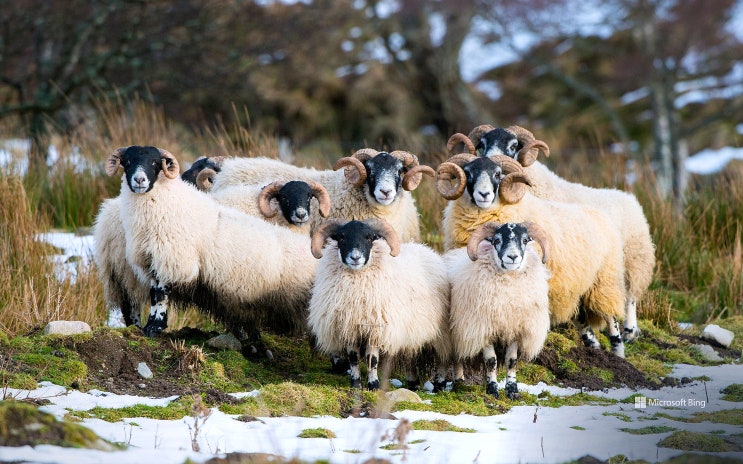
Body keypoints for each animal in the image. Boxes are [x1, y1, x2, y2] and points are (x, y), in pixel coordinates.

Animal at [101, 145, 318, 354]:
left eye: (155, 162)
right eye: (127, 161)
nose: (139, 180)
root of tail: (105, 214)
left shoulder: (167, 259)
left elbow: (160, 295)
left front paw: (154, 327)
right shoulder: (163, 258)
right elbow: (159, 295)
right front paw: (153, 328)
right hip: (124, 275)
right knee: (131, 306)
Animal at [307, 218, 452, 390]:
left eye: (369, 237)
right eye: (341, 237)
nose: (355, 258)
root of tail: (425, 248)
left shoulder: (376, 328)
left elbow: (372, 359)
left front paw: (374, 385)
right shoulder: (348, 328)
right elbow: (353, 358)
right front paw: (356, 384)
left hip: (440, 332)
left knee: (443, 358)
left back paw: (440, 384)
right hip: (411, 330)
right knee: (410, 355)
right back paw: (412, 383)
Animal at [436, 153, 627, 357]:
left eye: (497, 174)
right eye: (468, 173)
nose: (484, 195)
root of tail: (601, 215)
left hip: (605, 281)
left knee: (612, 319)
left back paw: (618, 354)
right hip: (580, 288)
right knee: (583, 320)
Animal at [445, 221, 551, 399]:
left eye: (525, 240)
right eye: (496, 240)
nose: (513, 257)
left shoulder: (515, 329)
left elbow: (511, 361)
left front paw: (512, 391)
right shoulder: (484, 328)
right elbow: (491, 361)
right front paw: (492, 389)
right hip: (456, 334)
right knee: (456, 358)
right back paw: (458, 382)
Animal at [450, 125, 655, 342]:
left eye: (513, 146)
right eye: (482, 144)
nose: (490, 159)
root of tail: (629, 197)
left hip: (633, 261)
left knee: (630, 296)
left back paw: (629, 330)